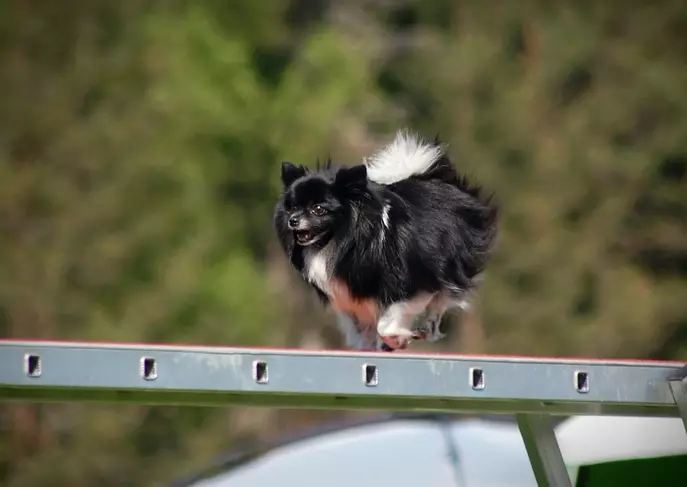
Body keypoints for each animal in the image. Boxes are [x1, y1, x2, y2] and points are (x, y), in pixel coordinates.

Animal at [274, 130, 500, 350]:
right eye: (292, 208)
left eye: (318, 209)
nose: (293, 221)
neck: (342, 242)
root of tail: (437, 178)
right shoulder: (353, 302)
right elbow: (365, 333)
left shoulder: (411, 286)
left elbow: (385, 325)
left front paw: (398, 338)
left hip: (449, 268)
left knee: (441, 301)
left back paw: (425, 329)